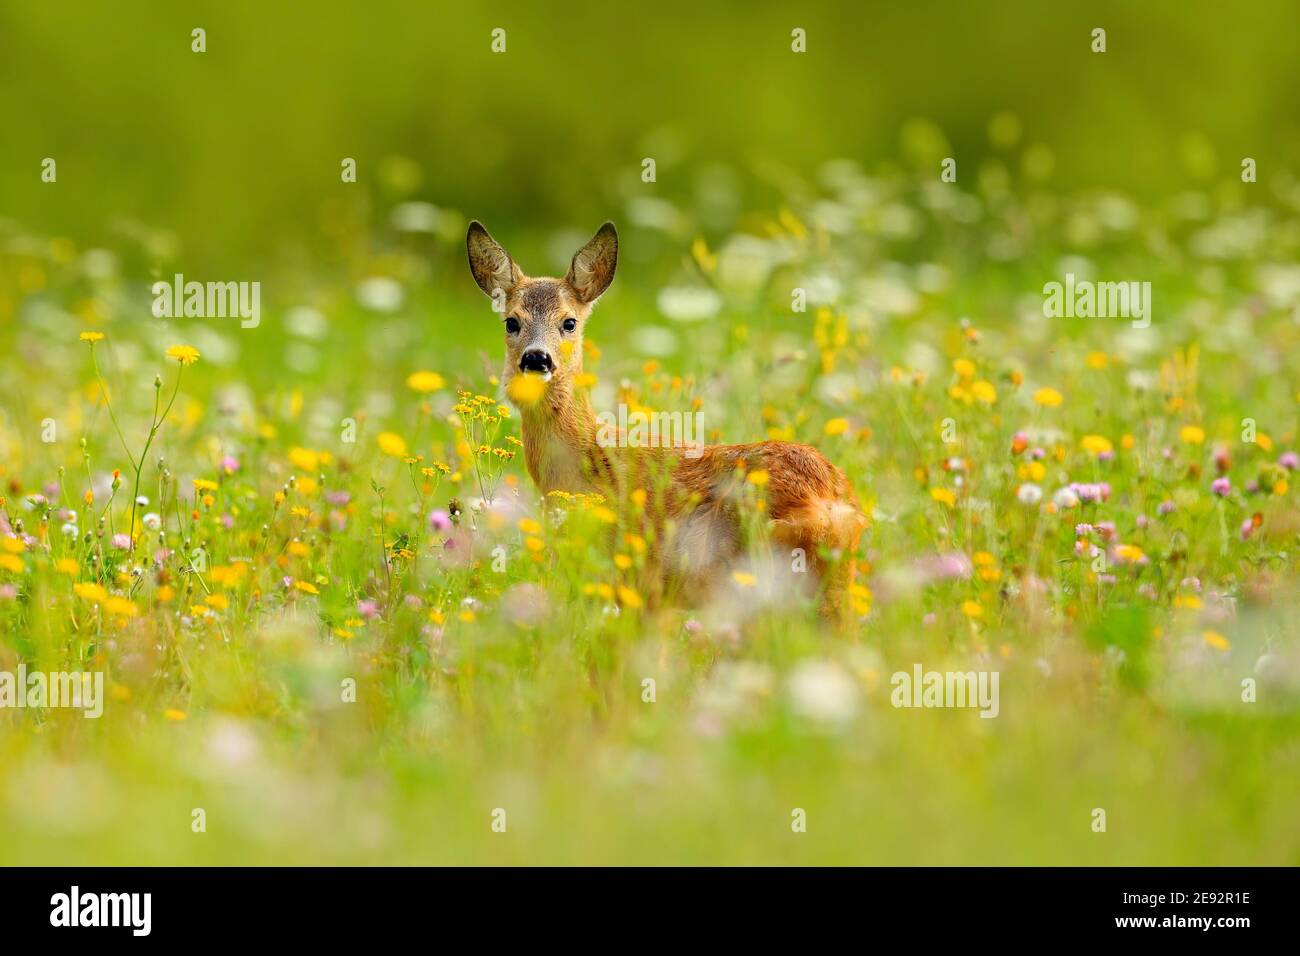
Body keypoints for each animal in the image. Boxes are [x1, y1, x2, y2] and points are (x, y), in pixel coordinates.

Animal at [467, 220, 868, 621]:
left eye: (569, 322)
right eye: (511, 322)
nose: (537, 359)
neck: (587, 462)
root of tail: (831, 504)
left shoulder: (642, 584)